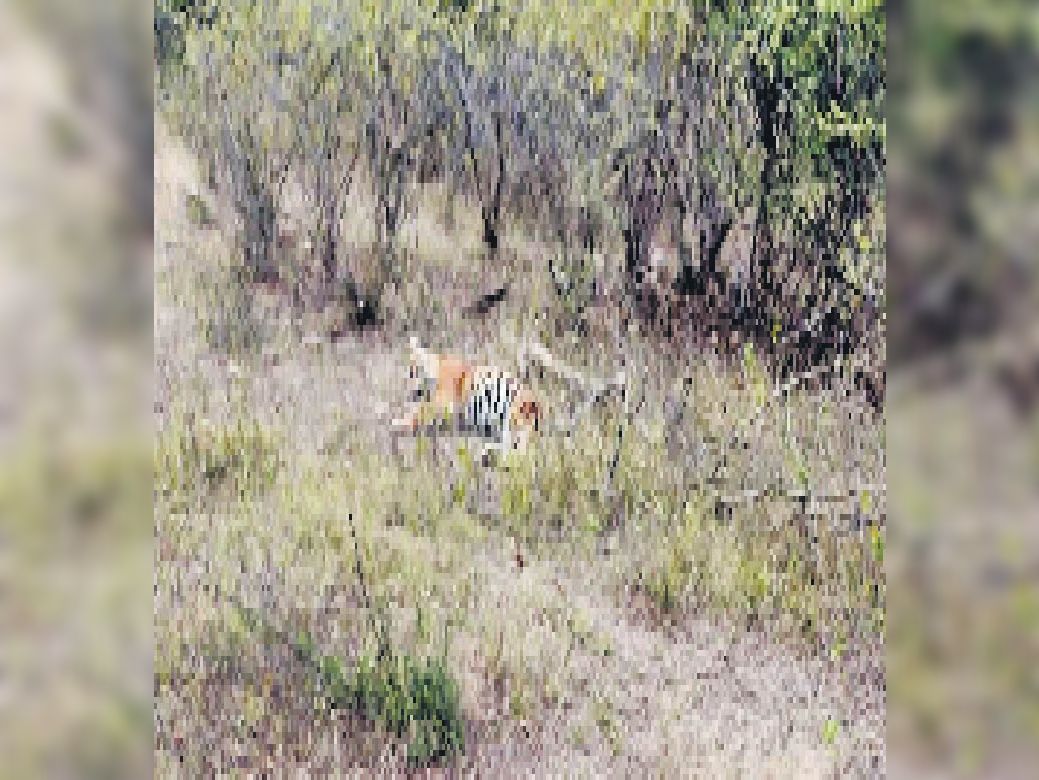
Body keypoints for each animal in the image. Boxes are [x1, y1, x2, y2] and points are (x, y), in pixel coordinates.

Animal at [391, 337, 540, 453]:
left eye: (411, 373)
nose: (409, 393)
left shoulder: (441, 402)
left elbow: (419, 413)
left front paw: (398, 423)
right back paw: (486, 451)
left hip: (514, 414)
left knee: (518, 448)